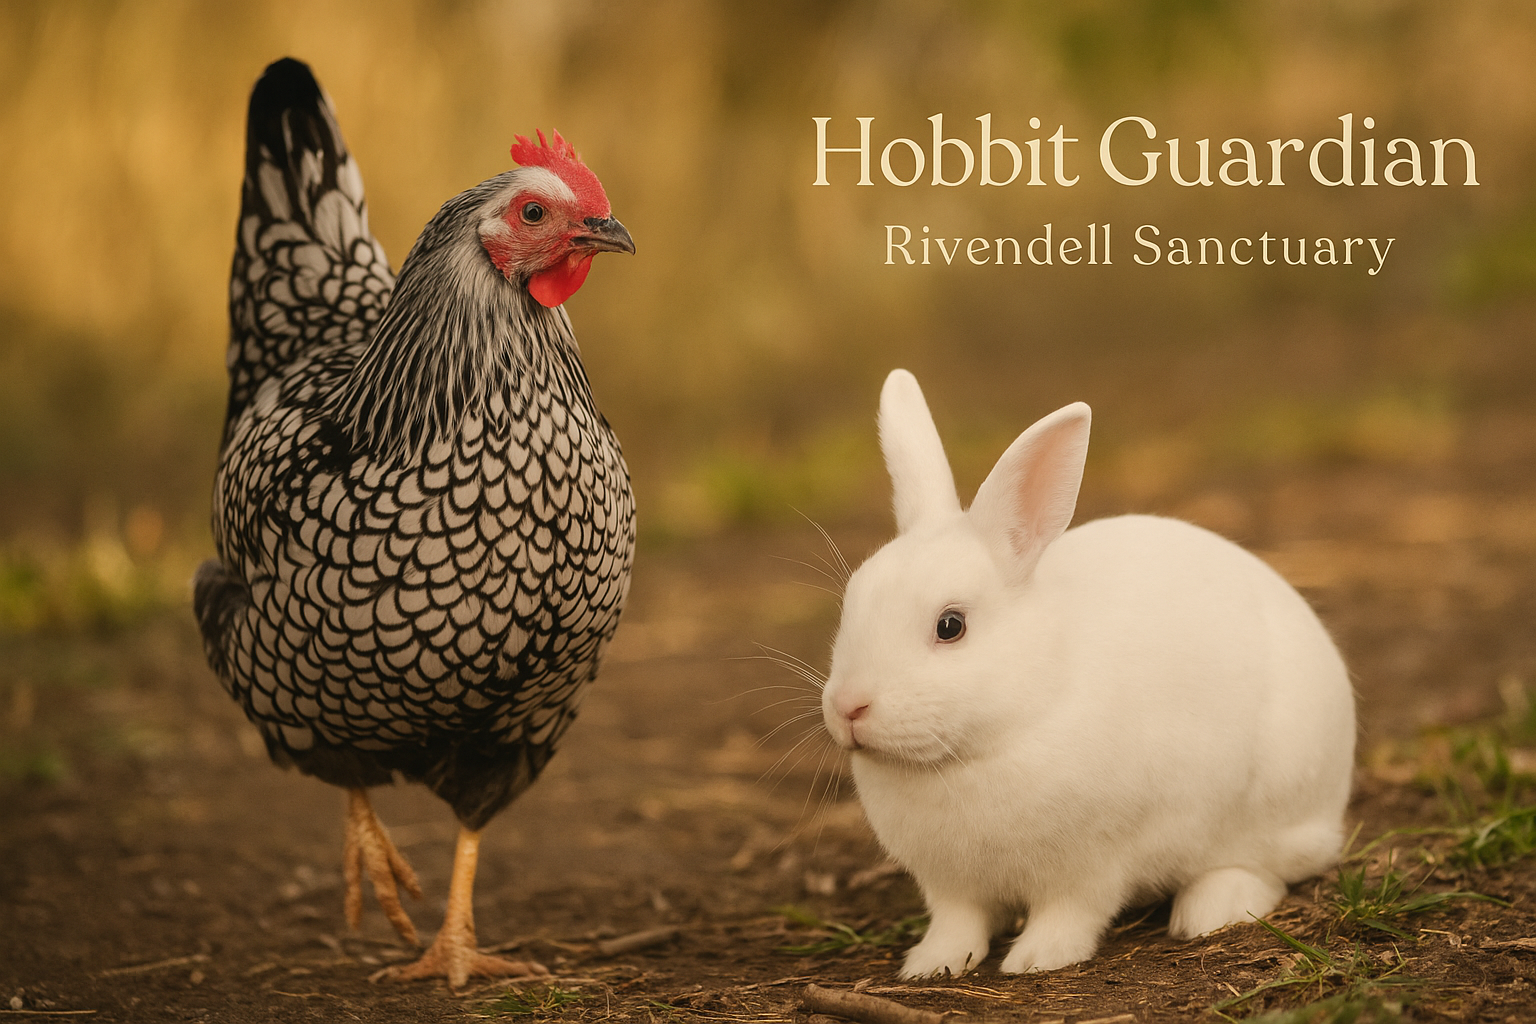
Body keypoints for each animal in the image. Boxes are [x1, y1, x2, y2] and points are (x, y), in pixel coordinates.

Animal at [821, 369, 1355, 979]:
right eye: (851, 603)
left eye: (950, 625)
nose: (849, 706)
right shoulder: (950, 886)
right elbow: (957, 924)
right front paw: (931, 965)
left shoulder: (1090, 868)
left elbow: (1070, 914)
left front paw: (1036, 960)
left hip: (1273, 807)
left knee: (1262, 870)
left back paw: (1207, 913)